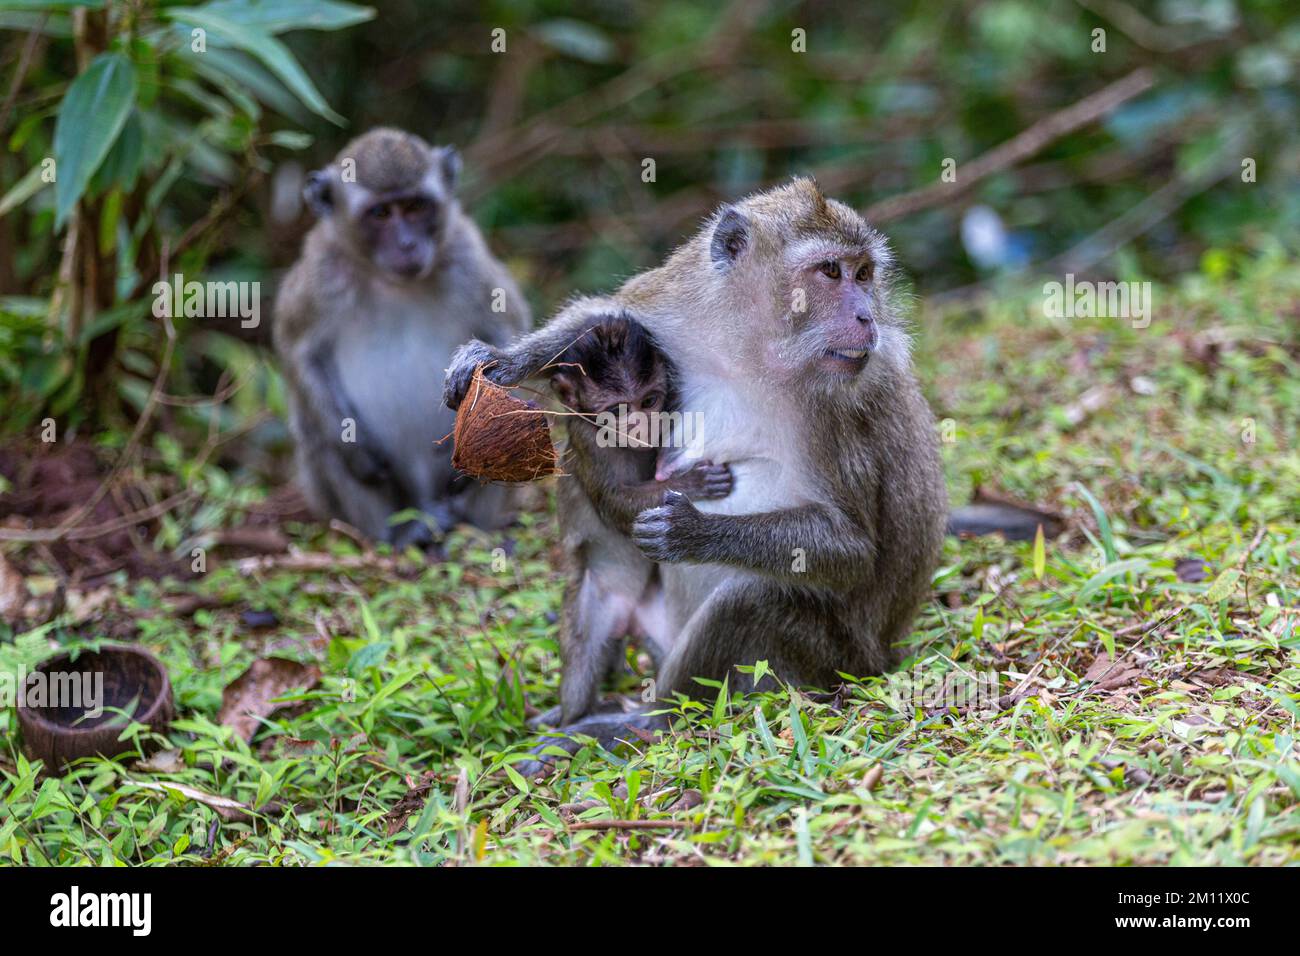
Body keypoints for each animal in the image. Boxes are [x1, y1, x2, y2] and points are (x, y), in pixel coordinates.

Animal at [274, 128, 531, 549]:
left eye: (415, 207)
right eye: (380, 214)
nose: (407, 245)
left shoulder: (466, 253)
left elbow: (507, 328)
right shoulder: (321, 272)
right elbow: (299, 352)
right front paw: (354, 448)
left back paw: (477, 529)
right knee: (316, 431)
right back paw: (399, 534)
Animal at [537, 315, 733, 730]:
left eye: (648, 401)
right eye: (616, 411)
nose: (641, 426)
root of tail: (627, 618)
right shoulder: (587, 438)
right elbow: (613, 504)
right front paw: (691, 483)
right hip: (594, 602)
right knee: (581, 665)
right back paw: (576, 719)